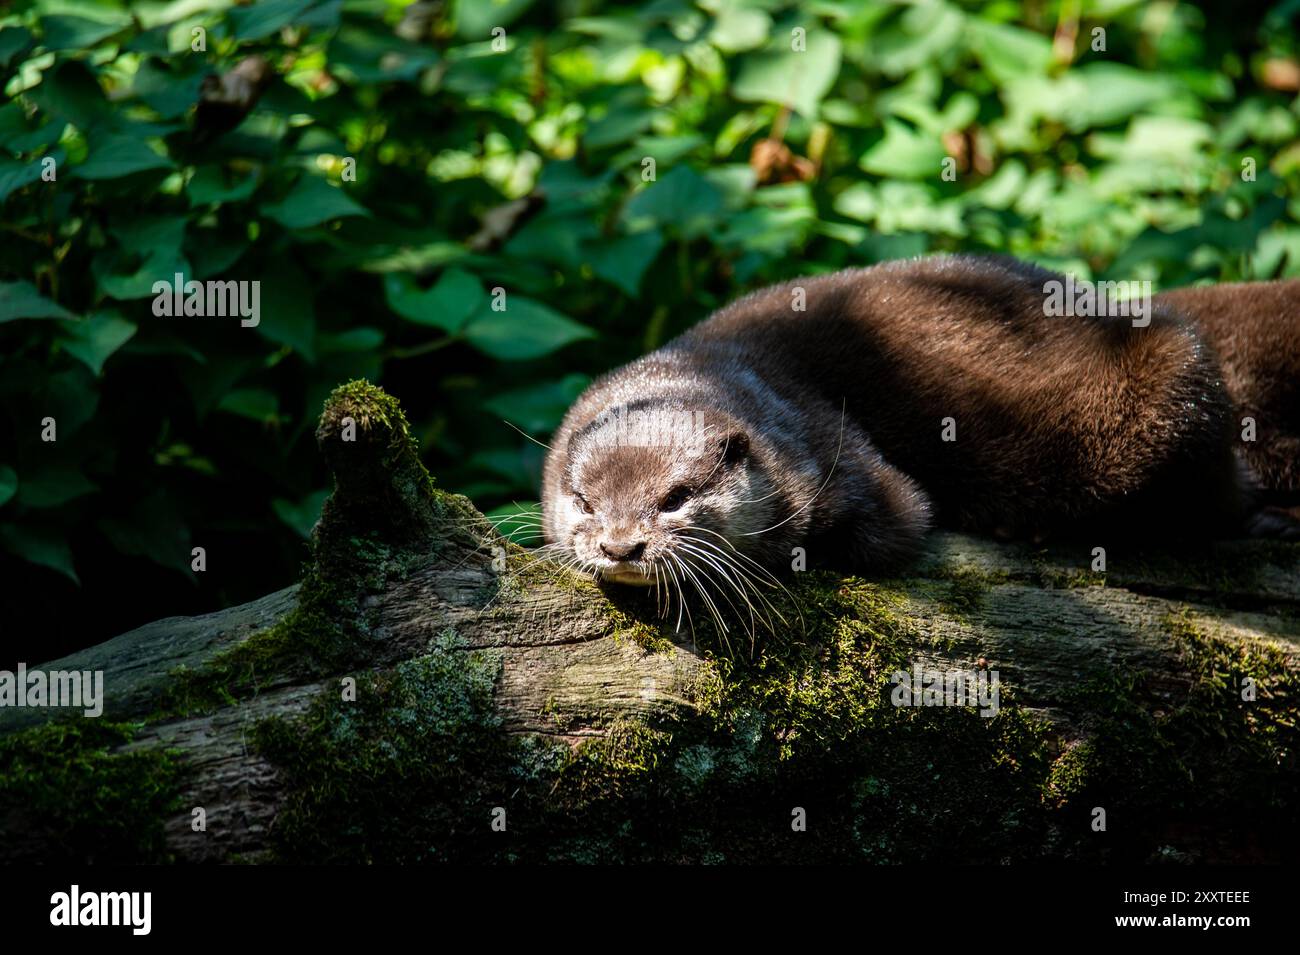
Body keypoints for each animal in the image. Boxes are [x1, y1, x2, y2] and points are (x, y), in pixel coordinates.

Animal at [540, 256, 1300, 599]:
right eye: (585, 501)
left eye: (675, 497)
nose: (620, 545)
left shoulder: (831, 449)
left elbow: (898, 524)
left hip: (1171, 392)